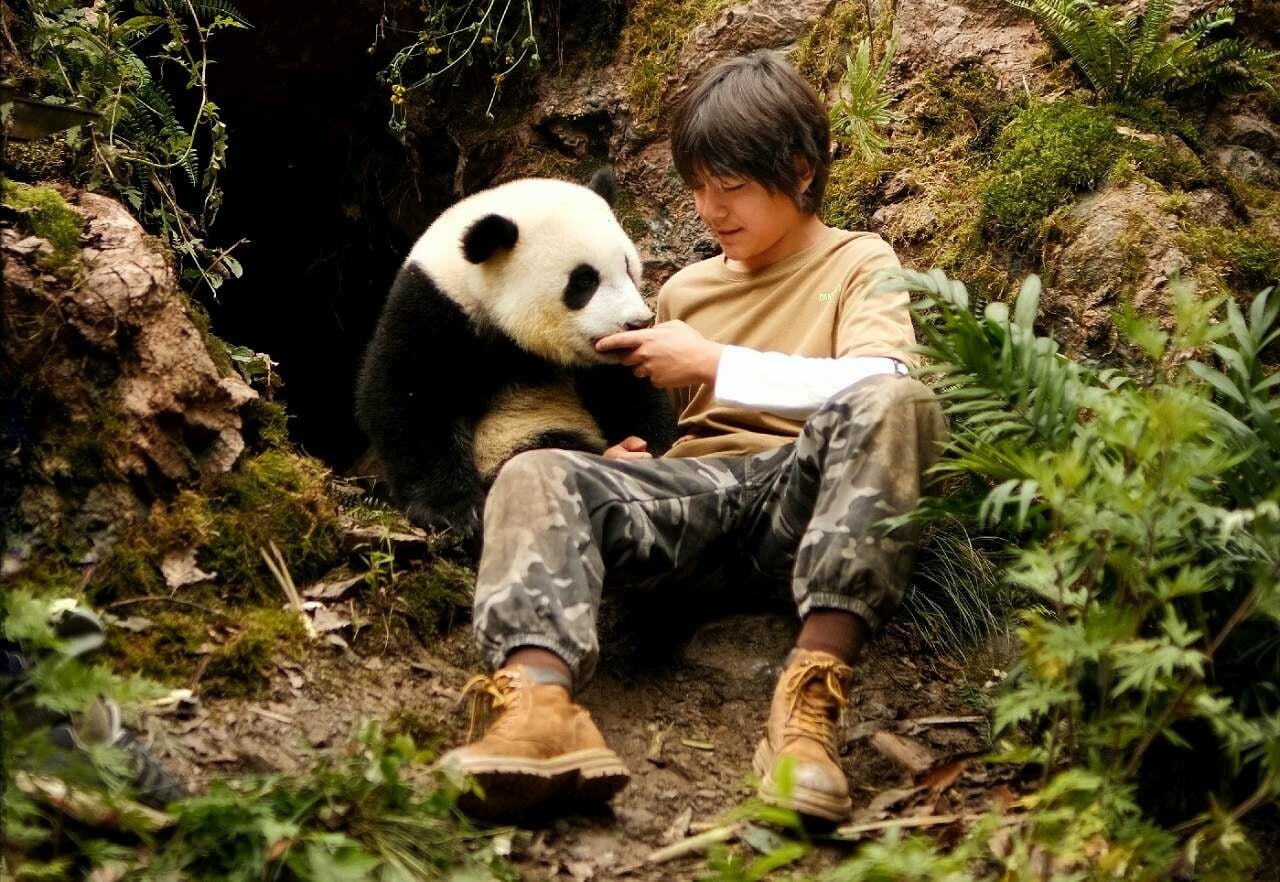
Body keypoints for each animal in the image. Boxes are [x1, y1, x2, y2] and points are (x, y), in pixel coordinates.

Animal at [355, 169, 678, 546]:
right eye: (584, 280)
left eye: (628, 267)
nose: (636, 322)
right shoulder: (435, 309)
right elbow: (408, 398)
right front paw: (455, 513)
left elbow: (629, 390)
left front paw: (656, 448)